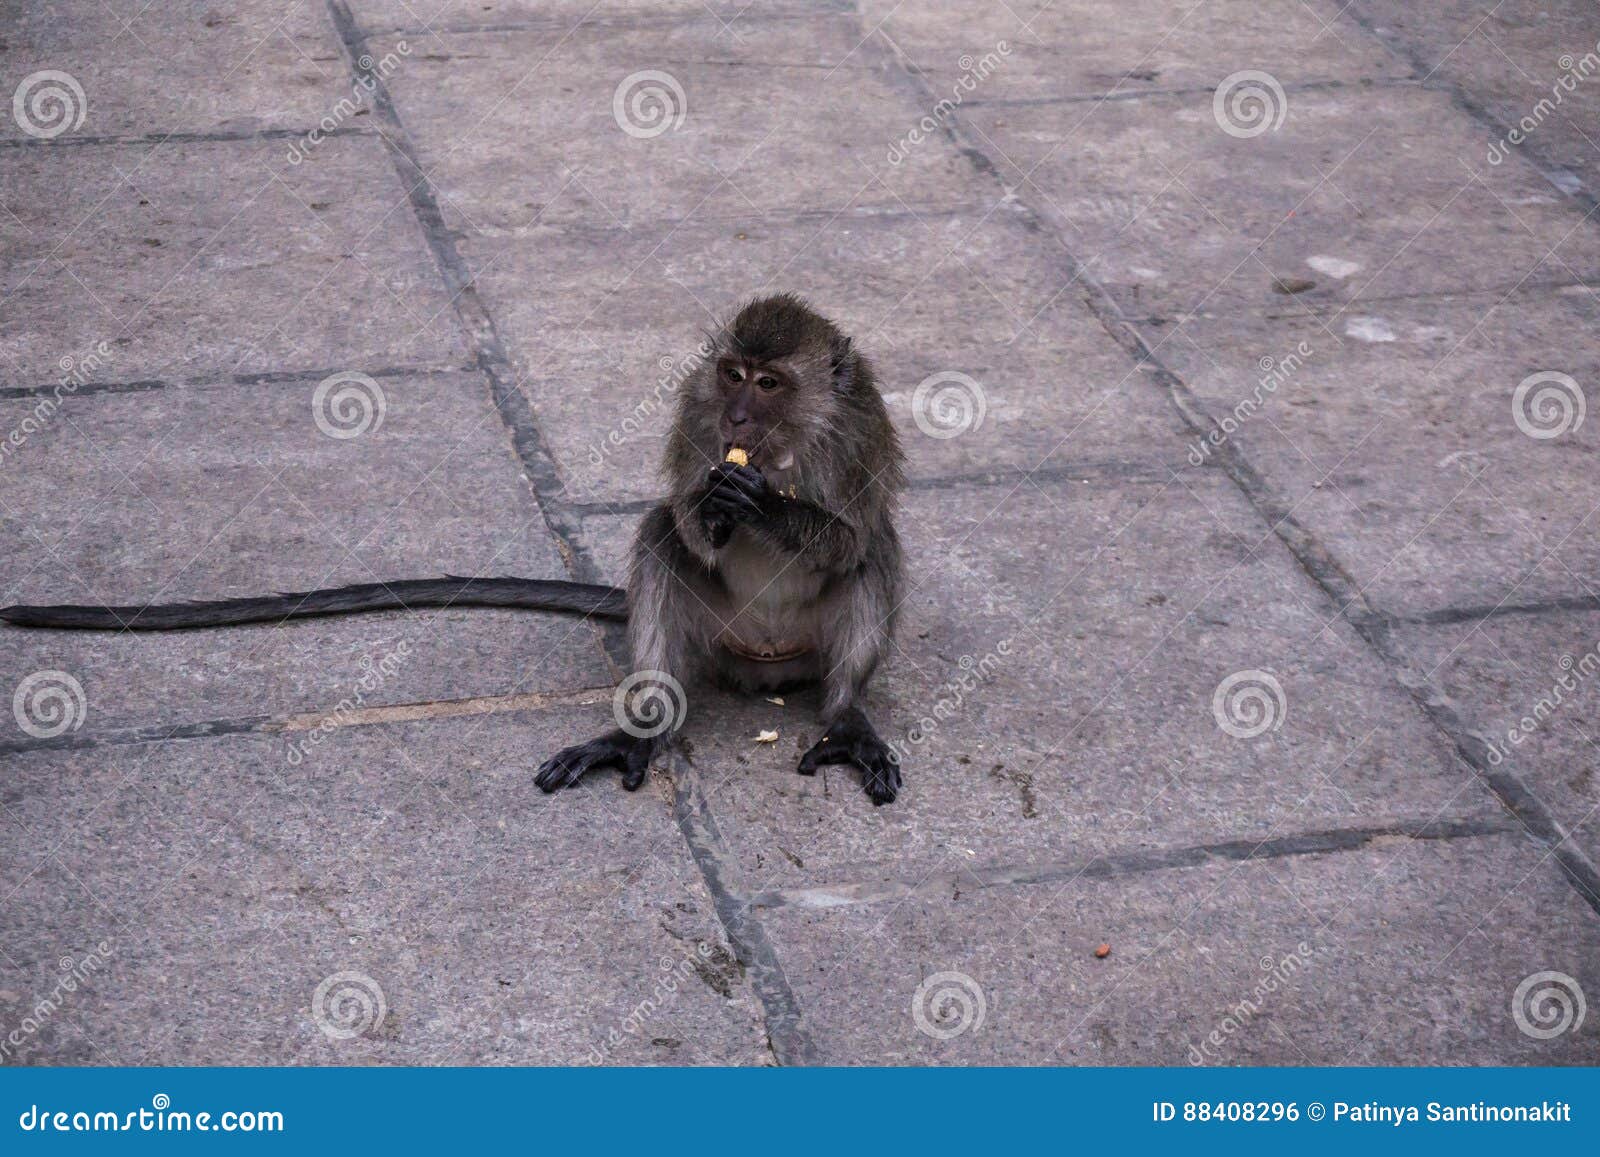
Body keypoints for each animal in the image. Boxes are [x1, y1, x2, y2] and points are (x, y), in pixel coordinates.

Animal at [2, 294, 907, 803]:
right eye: (732, 375)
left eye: (771, 382)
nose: (741, 420)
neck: (779, 444)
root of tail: (759, 666)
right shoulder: (693, 410)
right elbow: (683, 520)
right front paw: (716, 508)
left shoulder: (855, 428)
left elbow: (850, 537)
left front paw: (760, 505)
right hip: (714, 634)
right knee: (658, 538)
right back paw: (642, 726)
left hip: (802, 651)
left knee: (874, 555)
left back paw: (844, 717)